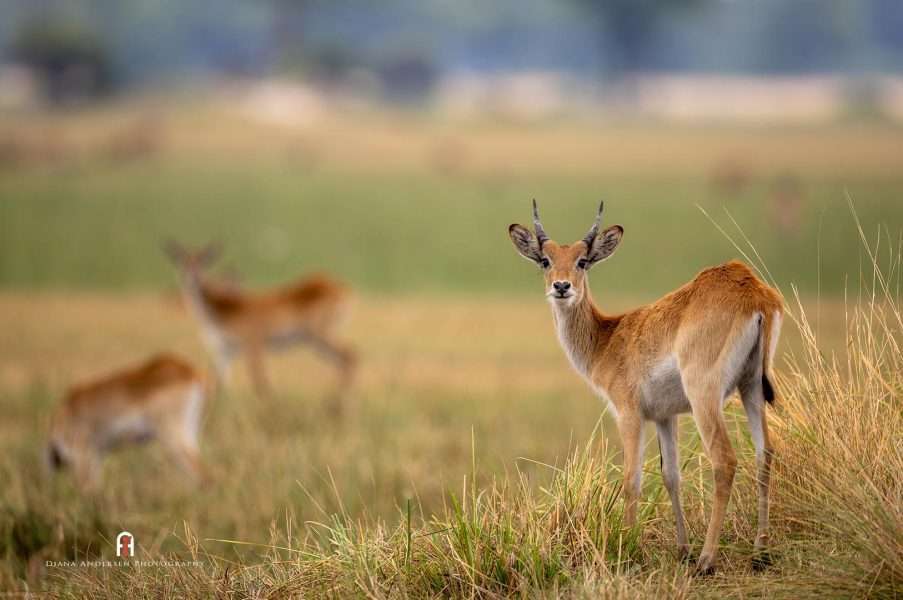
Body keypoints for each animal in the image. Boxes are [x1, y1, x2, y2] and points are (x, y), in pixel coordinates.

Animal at [47, 353, 207, 491]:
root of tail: (190, 372)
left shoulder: (82, 454)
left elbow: (87, 489)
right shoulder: (96, 454)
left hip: (173, 437)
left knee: (201, 473)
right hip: (188, 432)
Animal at [164, 242, 357, 404]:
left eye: (203, 262)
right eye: (181, 264)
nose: (191, 280)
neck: (224, 310)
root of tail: (339, 286)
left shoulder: (253, 346)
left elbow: (260, 383)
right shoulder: (225, 352)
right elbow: (219, 385)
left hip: (321, 336)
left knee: (350, 355)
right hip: (316, 342)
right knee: (343, 361)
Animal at [508, 201, 782, 574]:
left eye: (582, 260)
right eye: (546, 260)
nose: (562, 287)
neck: (607, 340)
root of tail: (753, 290)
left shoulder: (629, 414)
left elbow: (631, 480)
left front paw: (627, 549)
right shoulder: (665, 417)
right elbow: (671, 476)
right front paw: (681, 549)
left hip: (705, 396)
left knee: (725, 461)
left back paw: (707, 560)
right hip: (751, 386)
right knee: (764, 454)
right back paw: (759, 554)